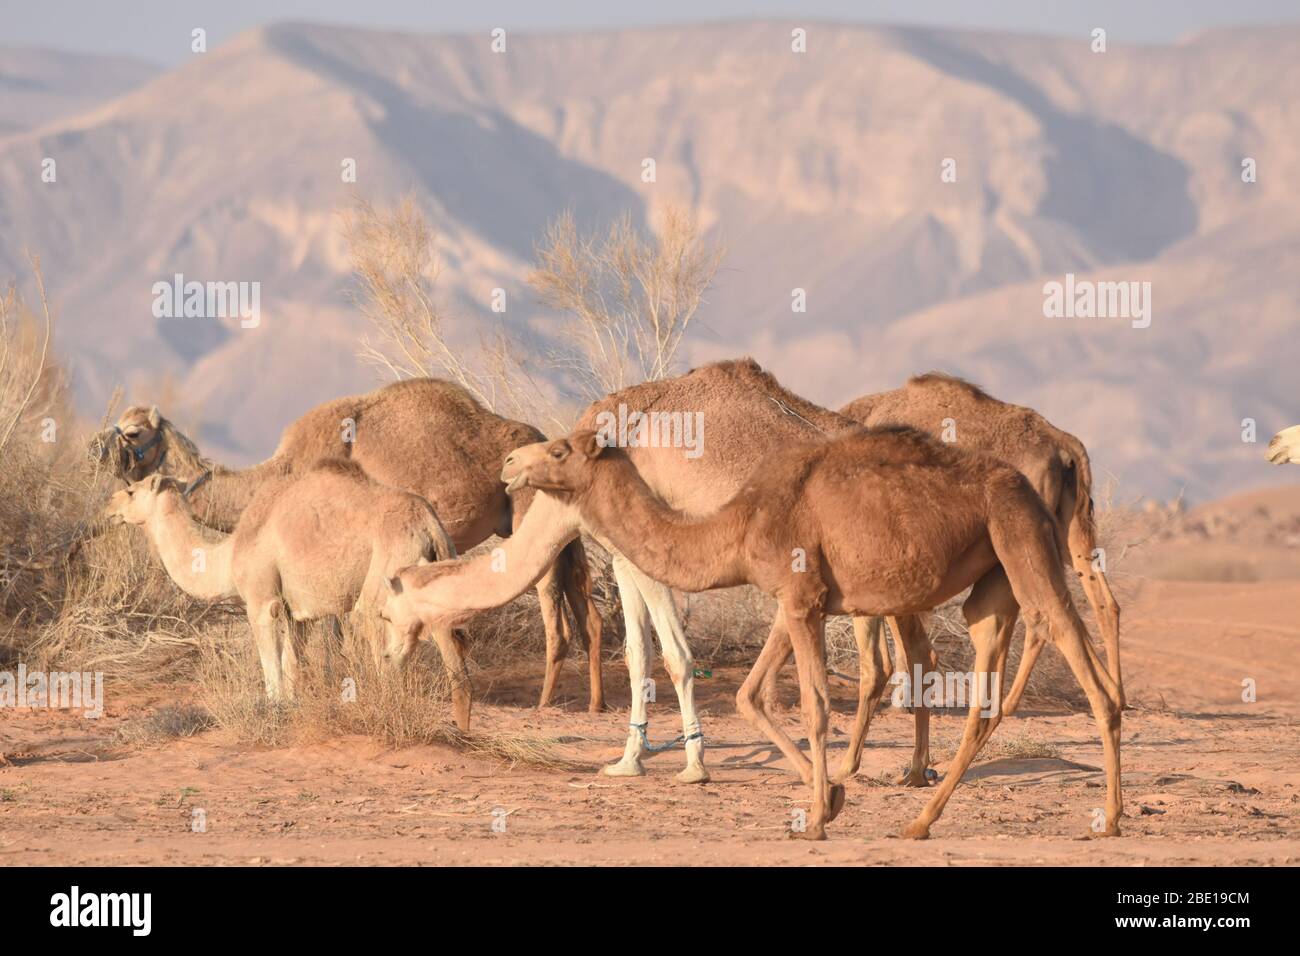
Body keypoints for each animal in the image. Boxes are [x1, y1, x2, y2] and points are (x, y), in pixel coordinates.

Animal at [104, 461, 472, 725]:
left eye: (132, 490)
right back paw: (460, 728)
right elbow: (292, 662)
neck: (229, 553)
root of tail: (428, 524)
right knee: (450, 643)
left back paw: (385, 713)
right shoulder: (297, 612)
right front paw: (292, 707)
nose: (109, 505)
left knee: (383, 645)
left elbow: (271, 665)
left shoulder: (261, 600)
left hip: (386, 576)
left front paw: (274, 710)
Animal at [392, 426, 1123, 840]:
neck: (736, 522)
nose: (510, 463)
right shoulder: (796, 599)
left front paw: (817, 818)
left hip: (1022, 543)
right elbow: (750, 696)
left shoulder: (800, 598)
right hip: (992, 582)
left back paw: (1110, 818)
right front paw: (832, 796)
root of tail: (1030, 486)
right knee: (985, 696)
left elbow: (815, 704)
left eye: (561, 449)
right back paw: (918, 821)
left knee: (1086, 671)